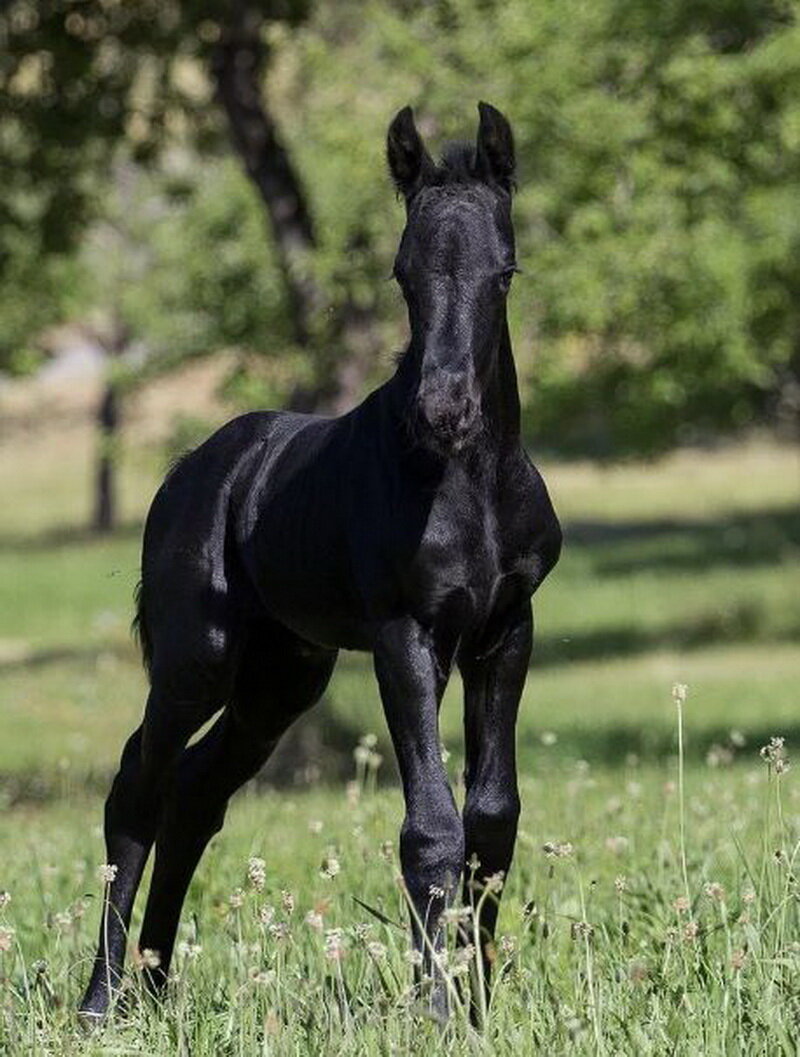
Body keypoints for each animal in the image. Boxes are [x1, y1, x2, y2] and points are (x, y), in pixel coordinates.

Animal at [78, 103, 557, 1018]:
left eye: (505, 273)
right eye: (403, 275)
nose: (445, 410)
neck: (467, 484)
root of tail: (192, 469)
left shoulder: (505, 632)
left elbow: (492, 817)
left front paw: (475, 999)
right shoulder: (406, 636)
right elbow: (430, 826)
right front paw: (436, 1008)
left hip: (280, 679)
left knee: (196, 794)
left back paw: (155, 985)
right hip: (199, 661)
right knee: (137, 787)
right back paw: (101, 998)